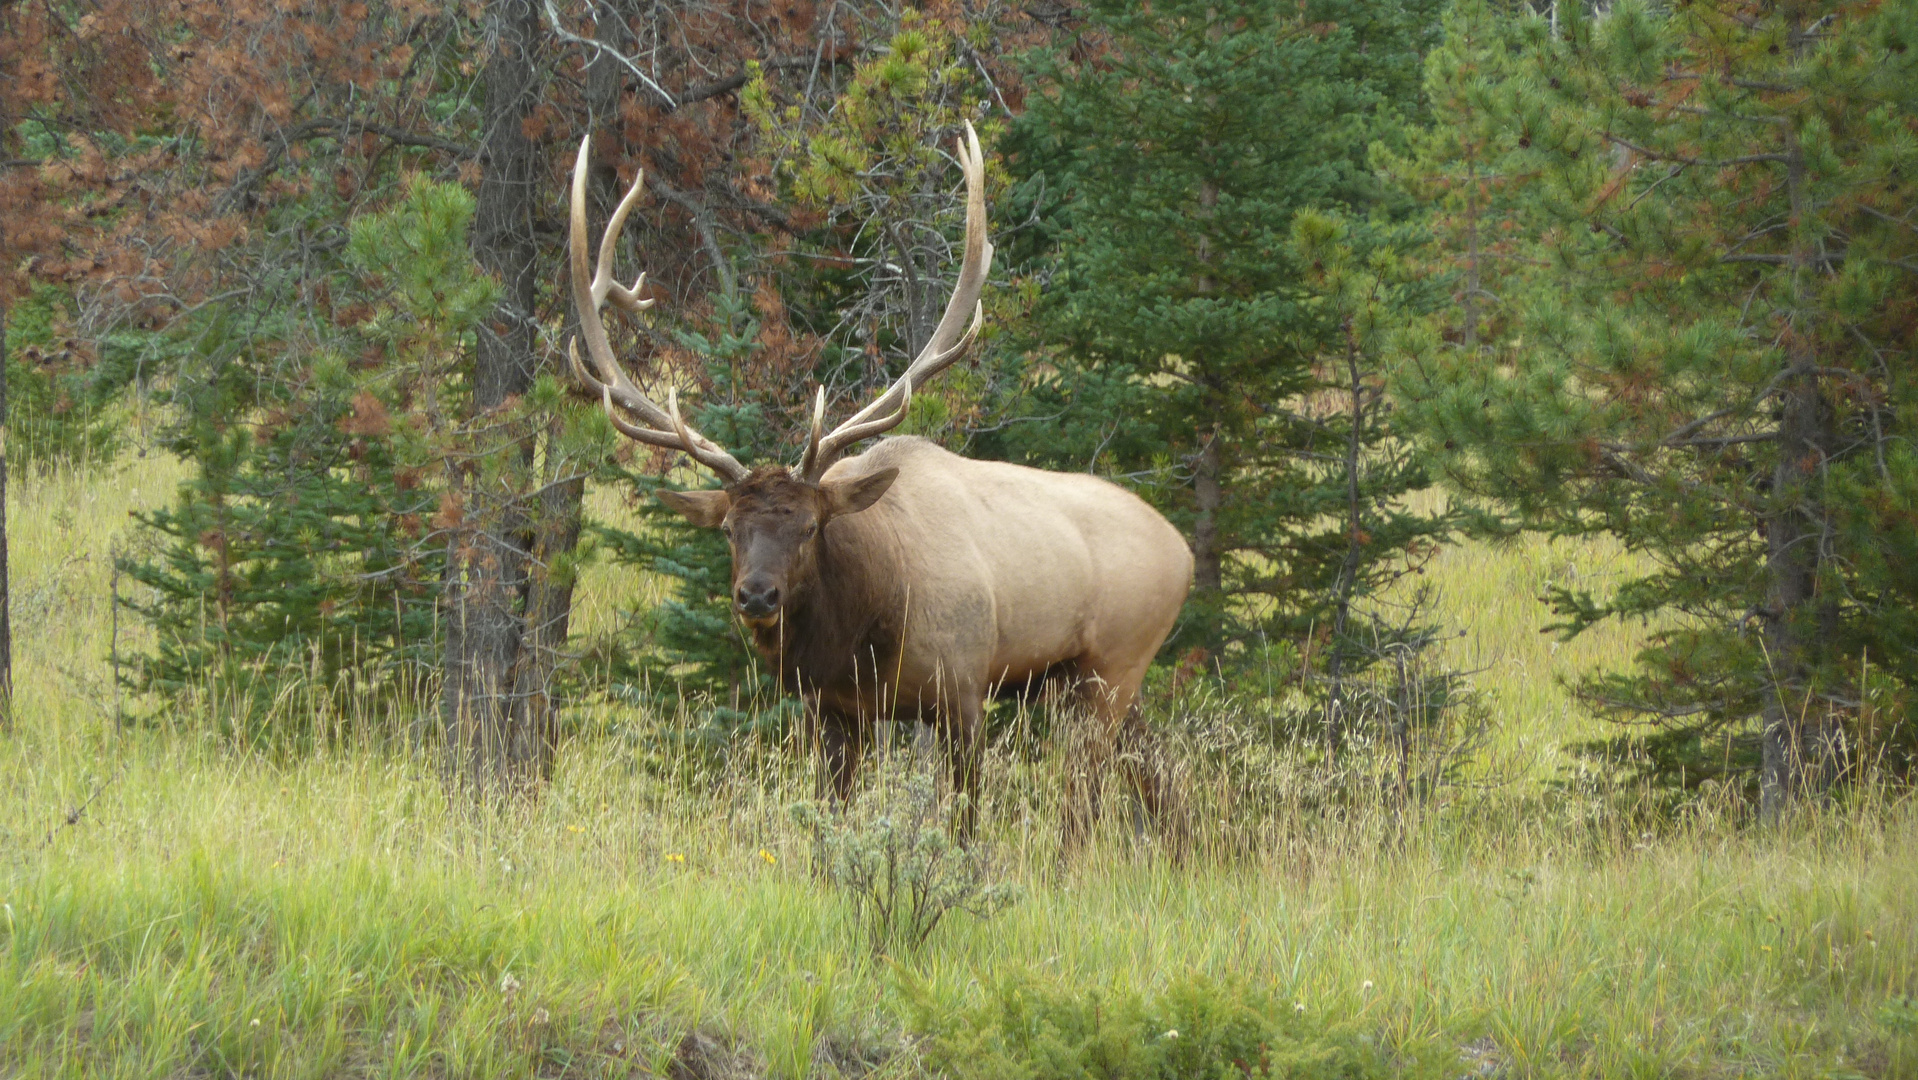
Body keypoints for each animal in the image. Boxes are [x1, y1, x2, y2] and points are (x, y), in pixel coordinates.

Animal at [567, 124, 1189, 844]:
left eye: (810, 526)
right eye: (727, 528)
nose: (757, 595)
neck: (863, 629)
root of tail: (1183, 551)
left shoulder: (963, 692)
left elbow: (963, 827)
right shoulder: (832, 711)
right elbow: (831, 820)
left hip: (1112, 664)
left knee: (1083, 801)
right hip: (1095, 679)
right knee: (1159, 778)